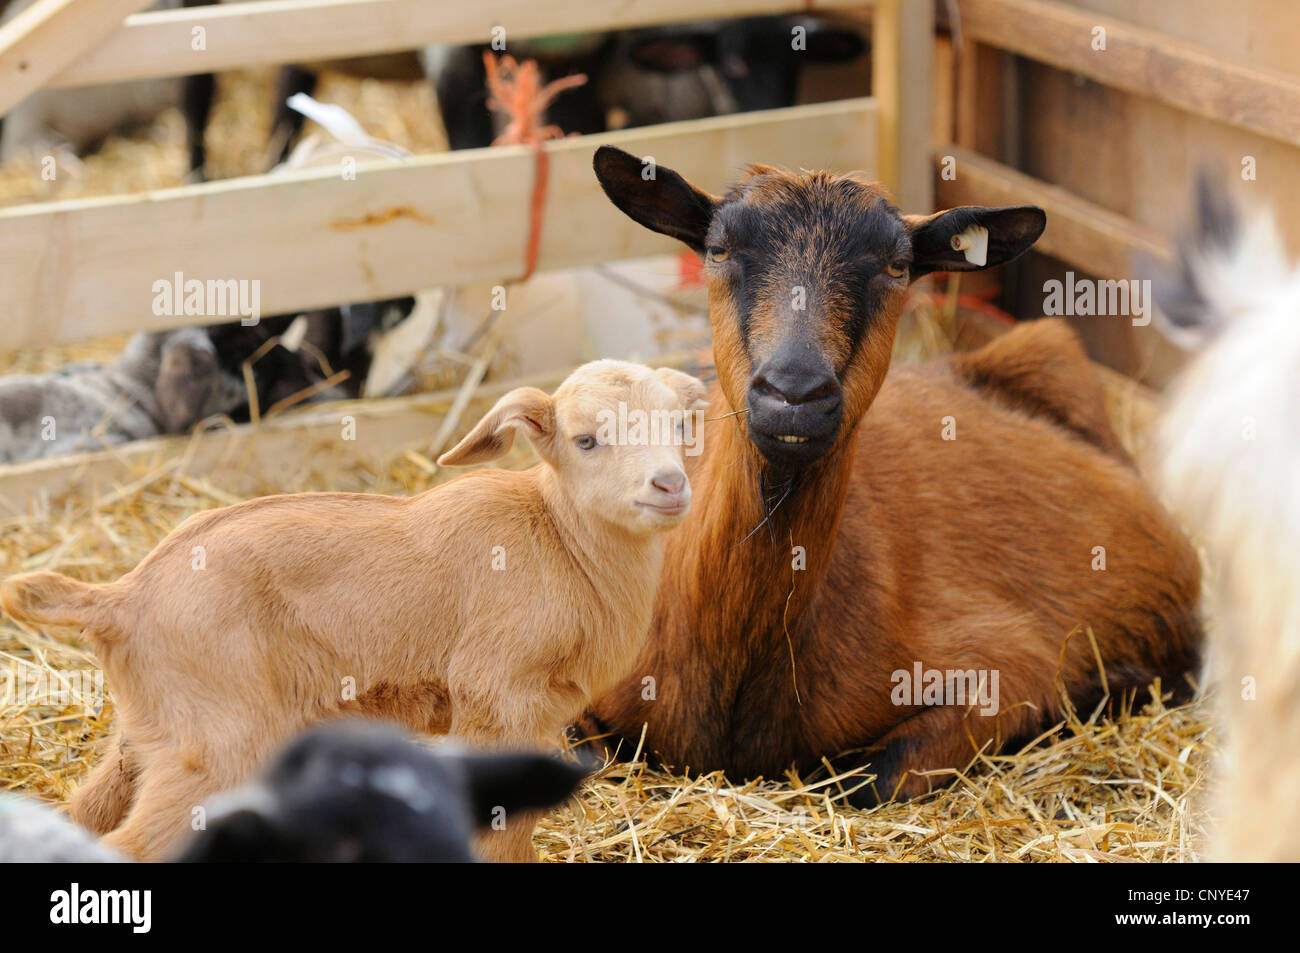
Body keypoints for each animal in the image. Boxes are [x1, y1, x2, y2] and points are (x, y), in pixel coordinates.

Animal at [1, 359, 706, 861]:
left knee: (88, 809)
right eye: (586, 440)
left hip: (156, 729)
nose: (670, 485)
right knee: (134, 844)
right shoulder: (497, 696)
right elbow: (504, 835)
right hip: (220, 739)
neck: (560, 536)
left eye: (678, 428)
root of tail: (121, 595)